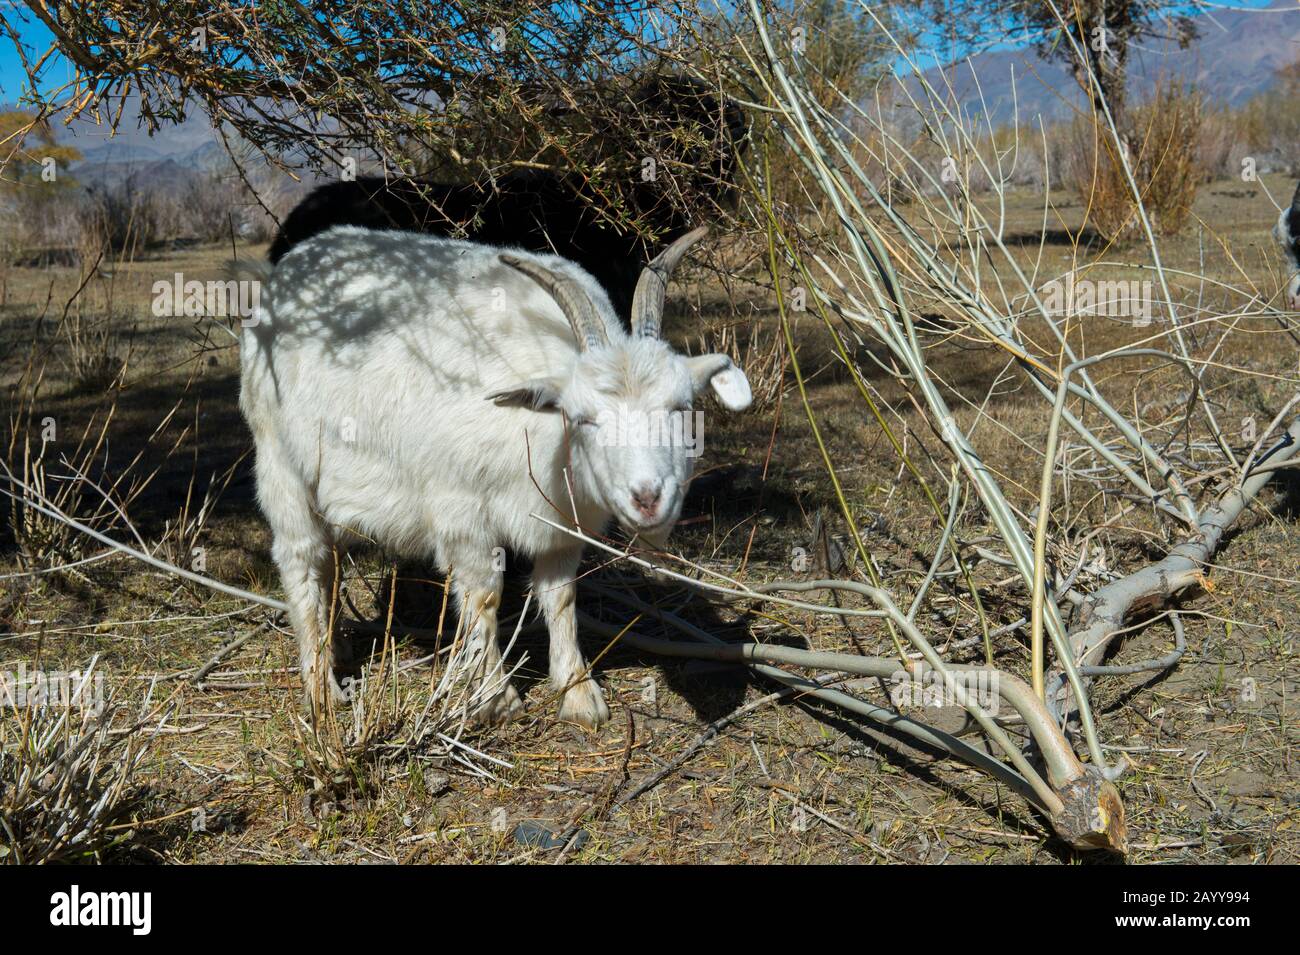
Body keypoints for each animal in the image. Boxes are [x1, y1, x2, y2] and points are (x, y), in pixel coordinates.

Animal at [235, 225, 751, 728]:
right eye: (581, 417)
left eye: (681, 407)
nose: (648, 498)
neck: (543, 433)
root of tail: (287, 267)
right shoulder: (461, 511)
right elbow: (484, 594)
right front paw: (494, 698)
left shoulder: (562, 524)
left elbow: (561, 597)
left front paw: (579, 693)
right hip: (280, 460)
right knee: (302, 558)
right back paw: (322, 687)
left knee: (330, 560)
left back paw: (338, 646)